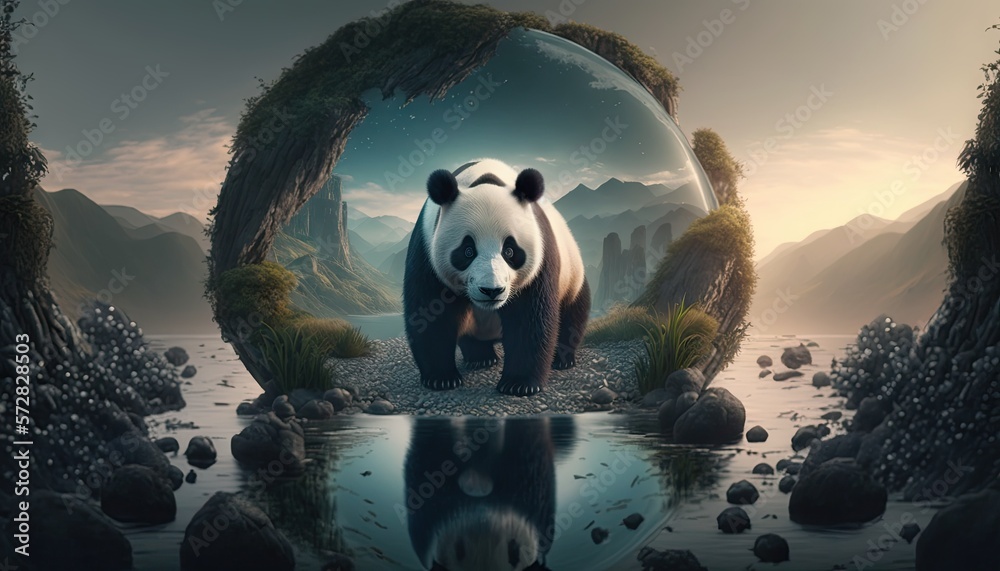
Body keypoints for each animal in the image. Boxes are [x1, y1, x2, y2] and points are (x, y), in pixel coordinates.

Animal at [404, 159, 590, 396]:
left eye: (509, 250)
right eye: (467, 251)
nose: (491, 290)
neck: (485, 178)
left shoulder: (540, 253)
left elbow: (531, 317)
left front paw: (518, 384)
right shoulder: (427, 248)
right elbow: (429, 312)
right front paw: (441, 378)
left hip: (572, 273)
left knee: (572, 313)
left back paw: (562, 359)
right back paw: (480, 358)